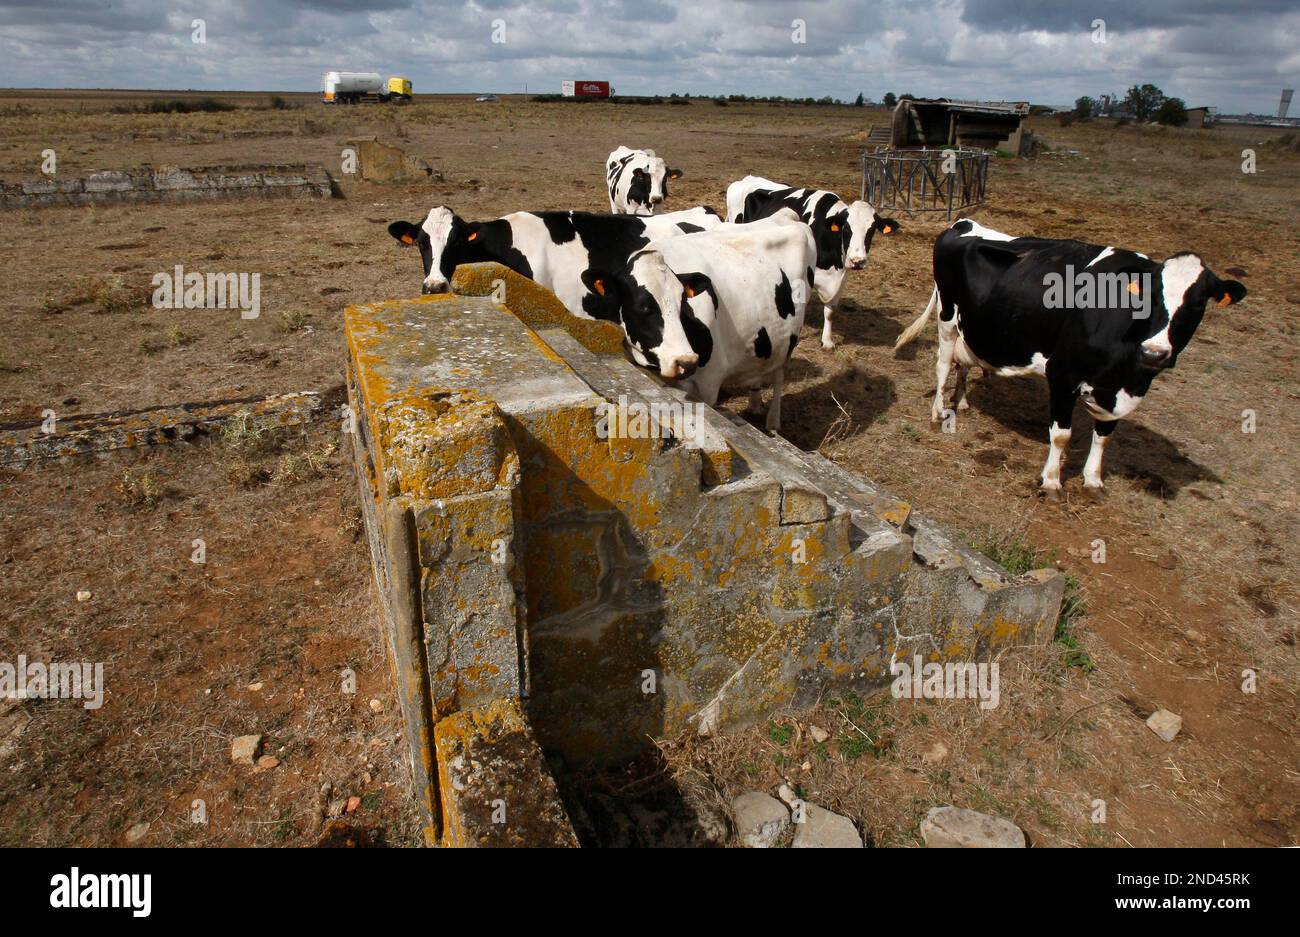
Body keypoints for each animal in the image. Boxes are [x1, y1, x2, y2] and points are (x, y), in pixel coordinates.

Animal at [580, 211, 817, 431]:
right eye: (642, 307)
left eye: (683, 303)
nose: (685, 362)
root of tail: (785, 215)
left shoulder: (709, 382)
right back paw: (755, 404)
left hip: (790, 338)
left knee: (779, 374)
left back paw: (773, 422)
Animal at [725, 174, 898, 349]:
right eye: (847, 229)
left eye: (871, 230)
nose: (857, 261)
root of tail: (746, 178)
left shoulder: (840, 280)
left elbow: (830, 312)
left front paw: (827, 341)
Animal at [893, 219, 1247, 499]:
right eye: (1149, 296)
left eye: (1198, 303)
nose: (1154, 353)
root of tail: (962, 224)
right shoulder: (1062, 375)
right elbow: (1061, 434)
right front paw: (1051, 481)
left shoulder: (1115, 389)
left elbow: (1104, 436)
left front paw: (1093, 480)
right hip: (947, 316)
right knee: (943, 364)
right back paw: (939, 411)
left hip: (972, 325)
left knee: (963, 363)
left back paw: (961, 401)